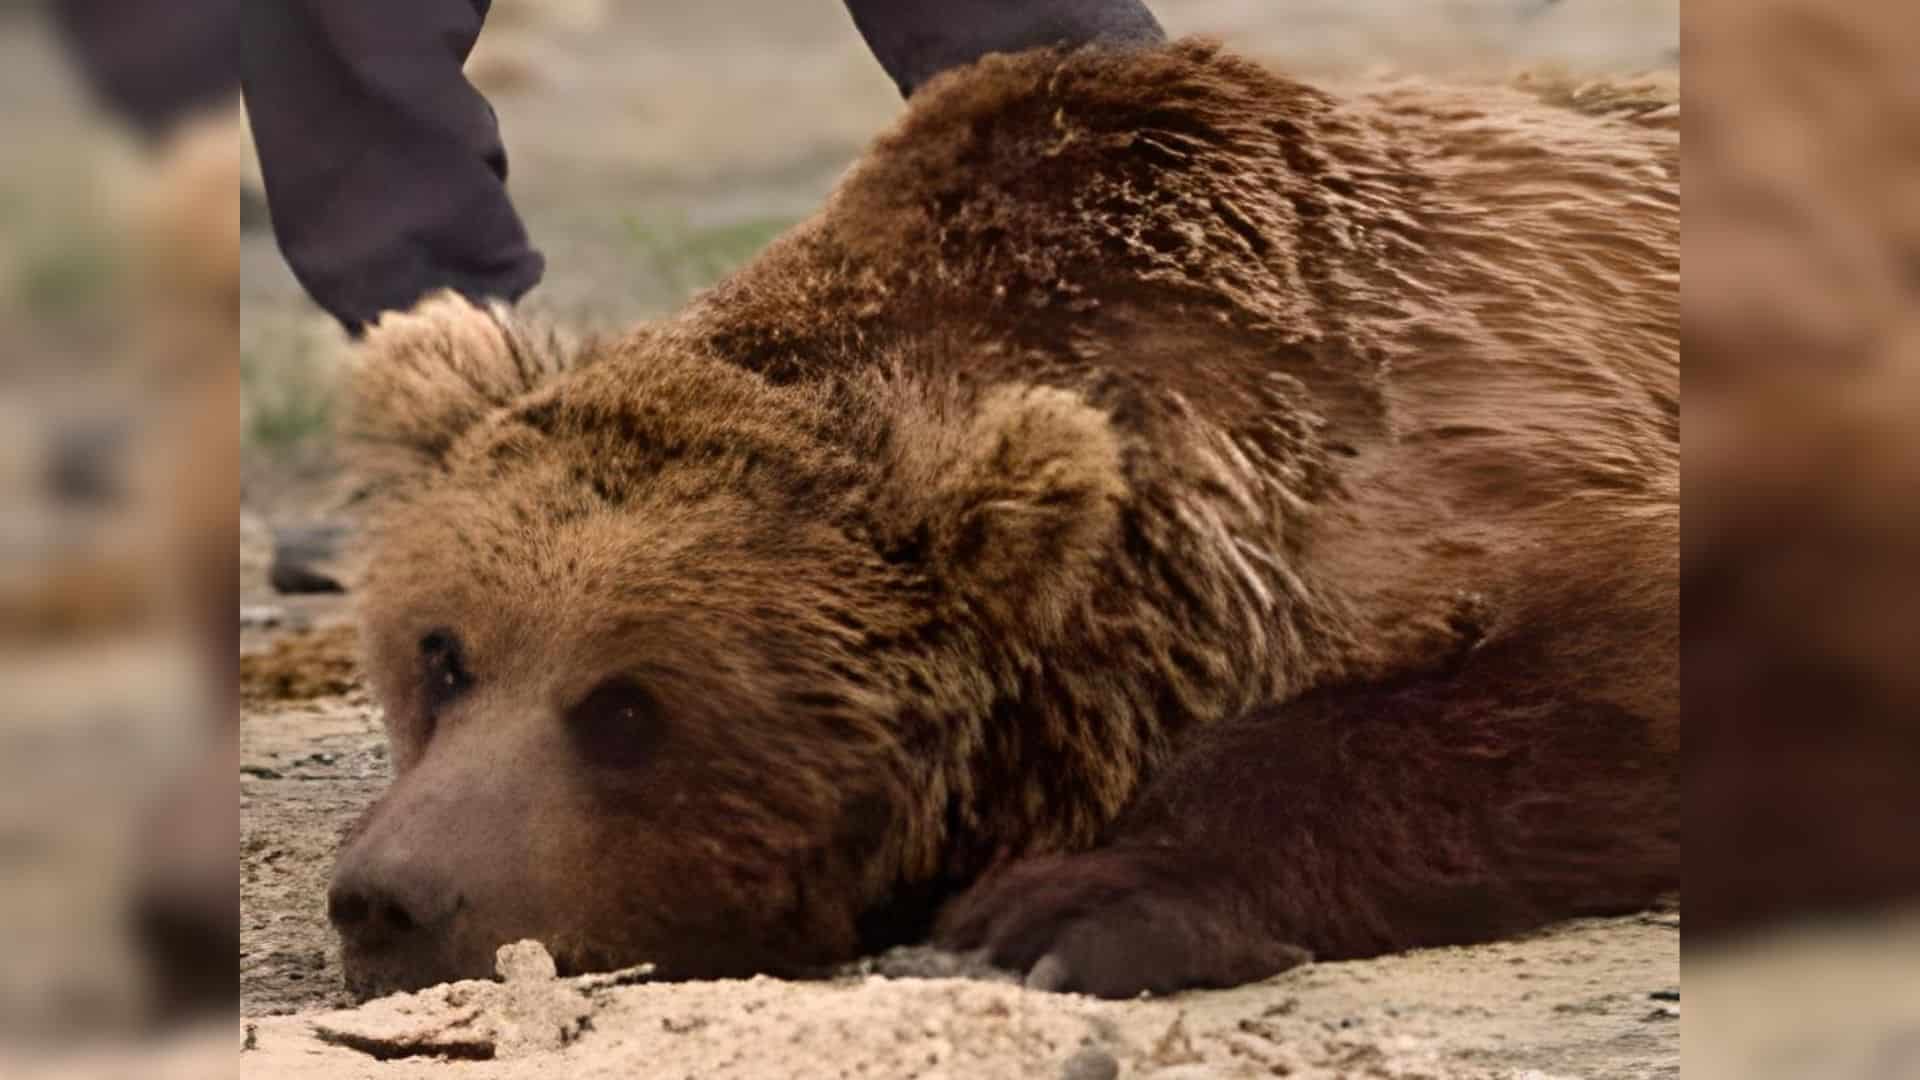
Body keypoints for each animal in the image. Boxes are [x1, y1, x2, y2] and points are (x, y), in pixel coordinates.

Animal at [328, 40, 1679, 1001]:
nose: (389, 898)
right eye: (442, 656)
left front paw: (1071, 906)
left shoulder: (1451, 439)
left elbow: (1602, 659)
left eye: (625, 707)